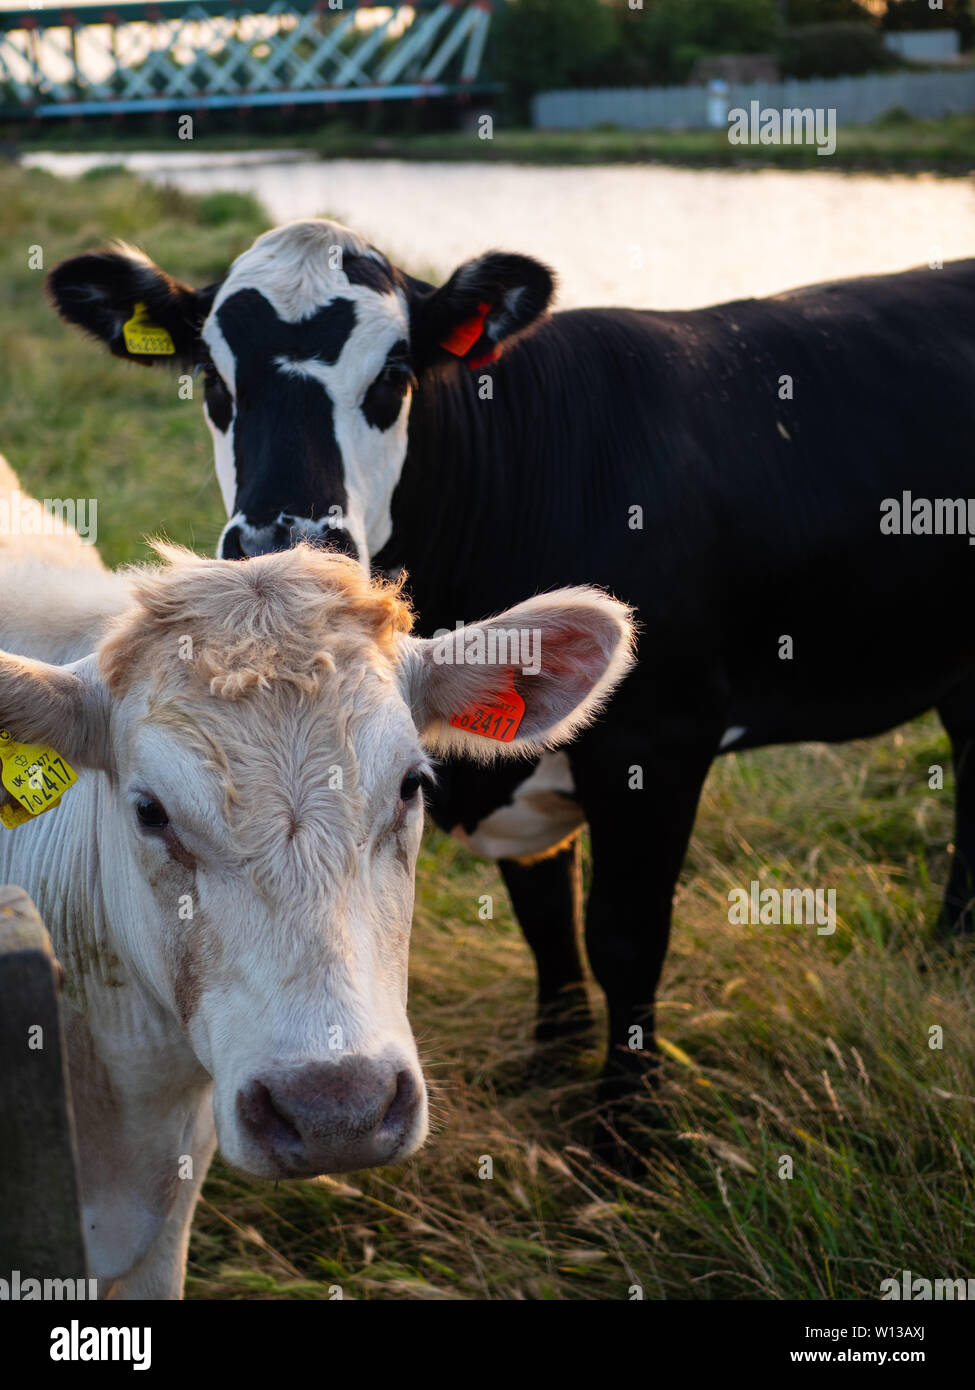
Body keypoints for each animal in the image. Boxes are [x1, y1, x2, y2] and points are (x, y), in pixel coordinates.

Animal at [49, 225, 975, 1160]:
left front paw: (622, 1130)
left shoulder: (658, 742)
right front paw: (550, 1061)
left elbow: (624, 934)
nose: (283, 536)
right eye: (213, 379)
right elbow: (544, 913)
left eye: (393, 376)